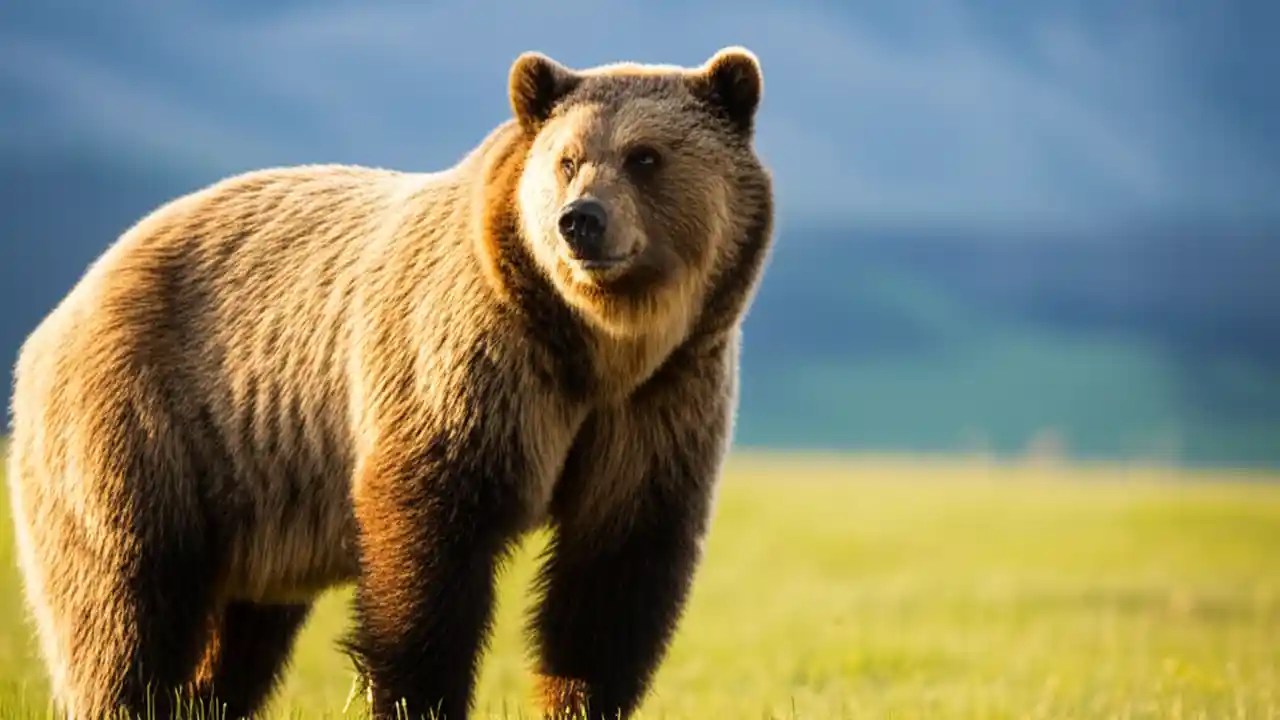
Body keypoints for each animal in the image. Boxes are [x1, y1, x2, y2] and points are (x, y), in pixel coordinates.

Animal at [6, 46, 773, 720]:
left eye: (645, 156)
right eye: (567, 159)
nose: (580, 221)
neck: (598, 346)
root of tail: (75, 296)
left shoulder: (660, 402)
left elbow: (614, 576)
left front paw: (581, 698)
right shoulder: (471, 365)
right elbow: (427, 559)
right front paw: (419, 695)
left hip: (249, 500)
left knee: (236, 643)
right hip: (144, 425)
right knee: (122, 605)